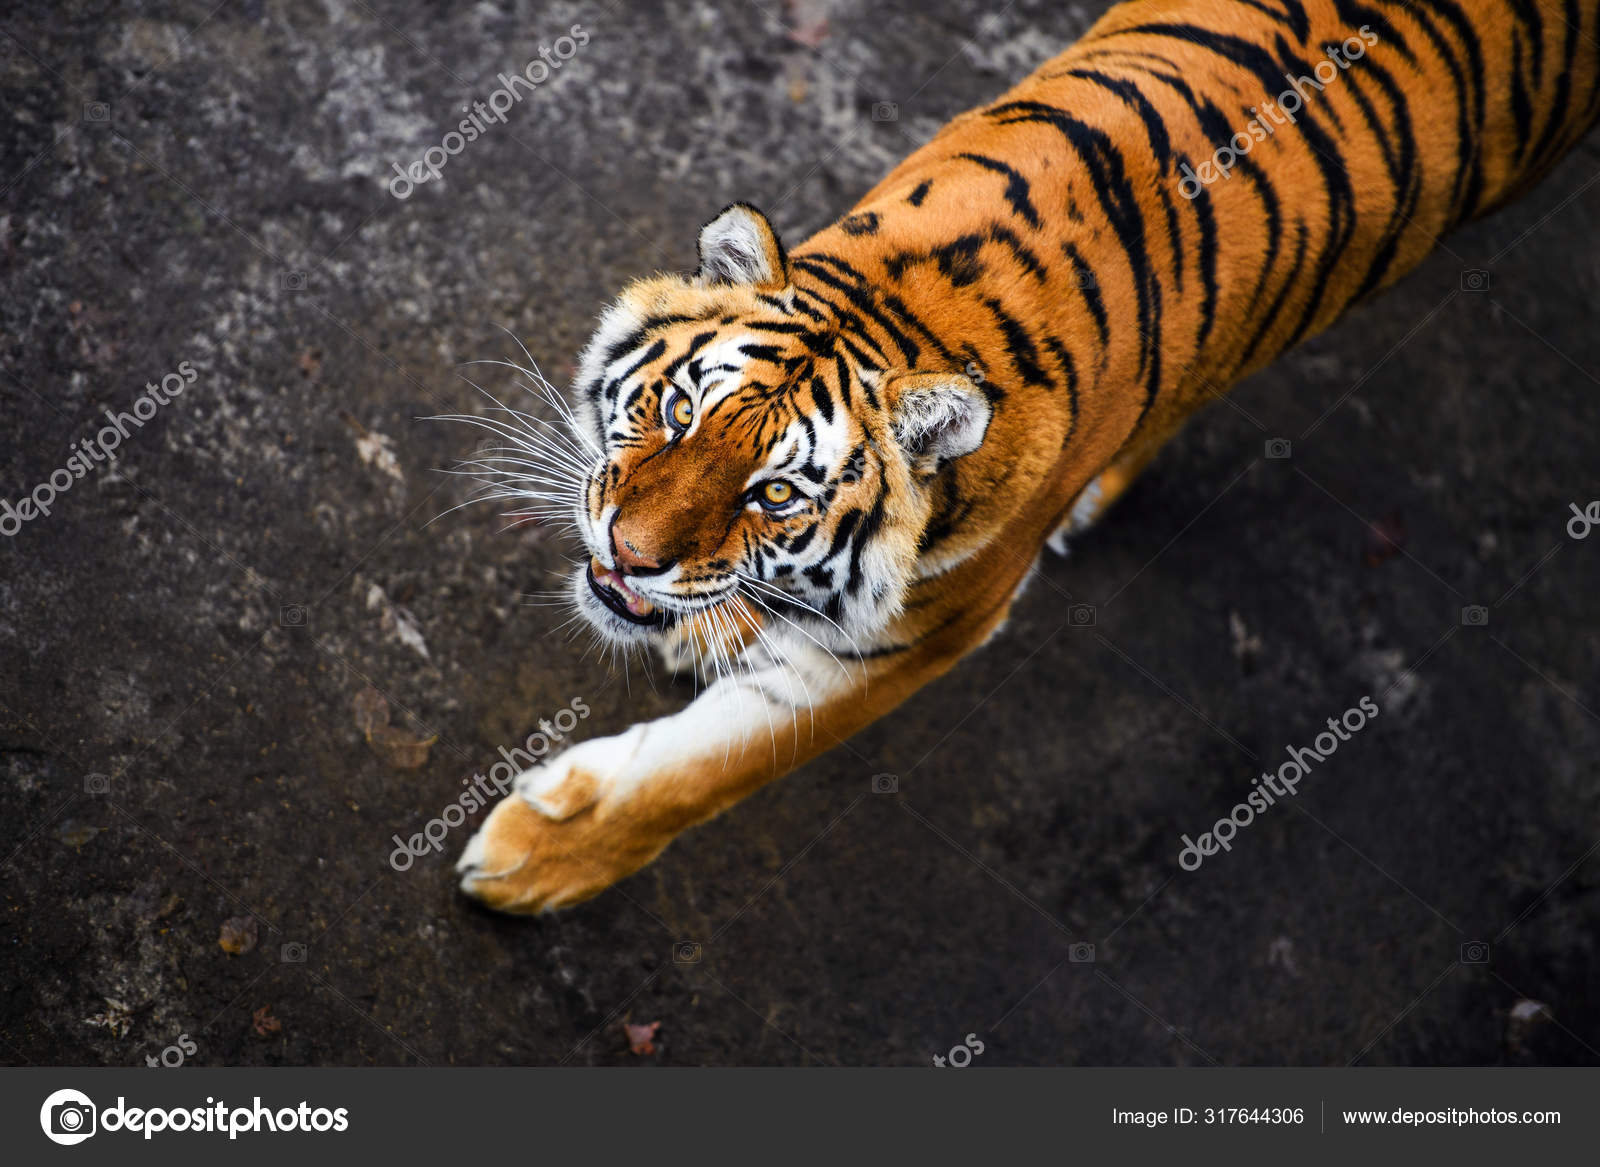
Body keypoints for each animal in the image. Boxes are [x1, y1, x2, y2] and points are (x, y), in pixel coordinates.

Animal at [456, 0, 1600, 912]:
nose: (629, 553)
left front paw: (528, 867)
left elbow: (701, 772)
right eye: (680, 412)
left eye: (776, 493)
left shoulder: (912, 644)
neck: (903, 311)